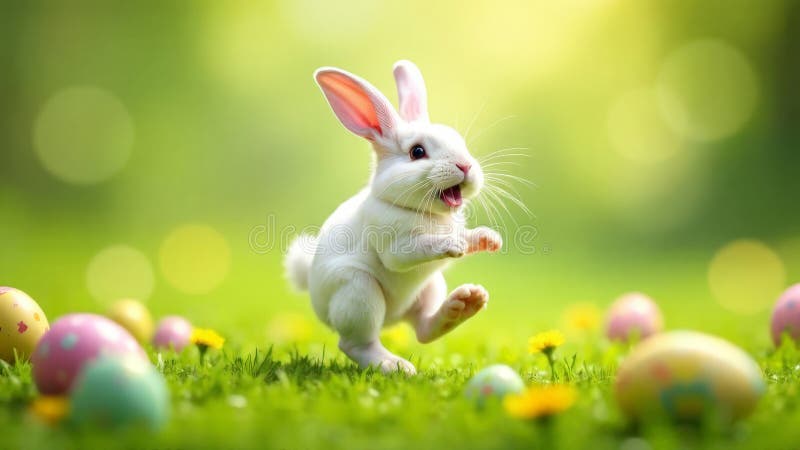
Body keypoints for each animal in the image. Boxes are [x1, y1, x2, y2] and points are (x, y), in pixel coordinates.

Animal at [284, 60, 503, 374]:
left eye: (460, 142)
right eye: (417, 152)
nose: (465, 166)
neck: (423, 213)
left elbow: (466, 235)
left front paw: (488, 239)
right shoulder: (395, 248)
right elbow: (414, 249)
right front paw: (450, 245)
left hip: (430, 287)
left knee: (423, 329)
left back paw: (465, 304)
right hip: (359, 293)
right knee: (356, 344)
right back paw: (394, 365)